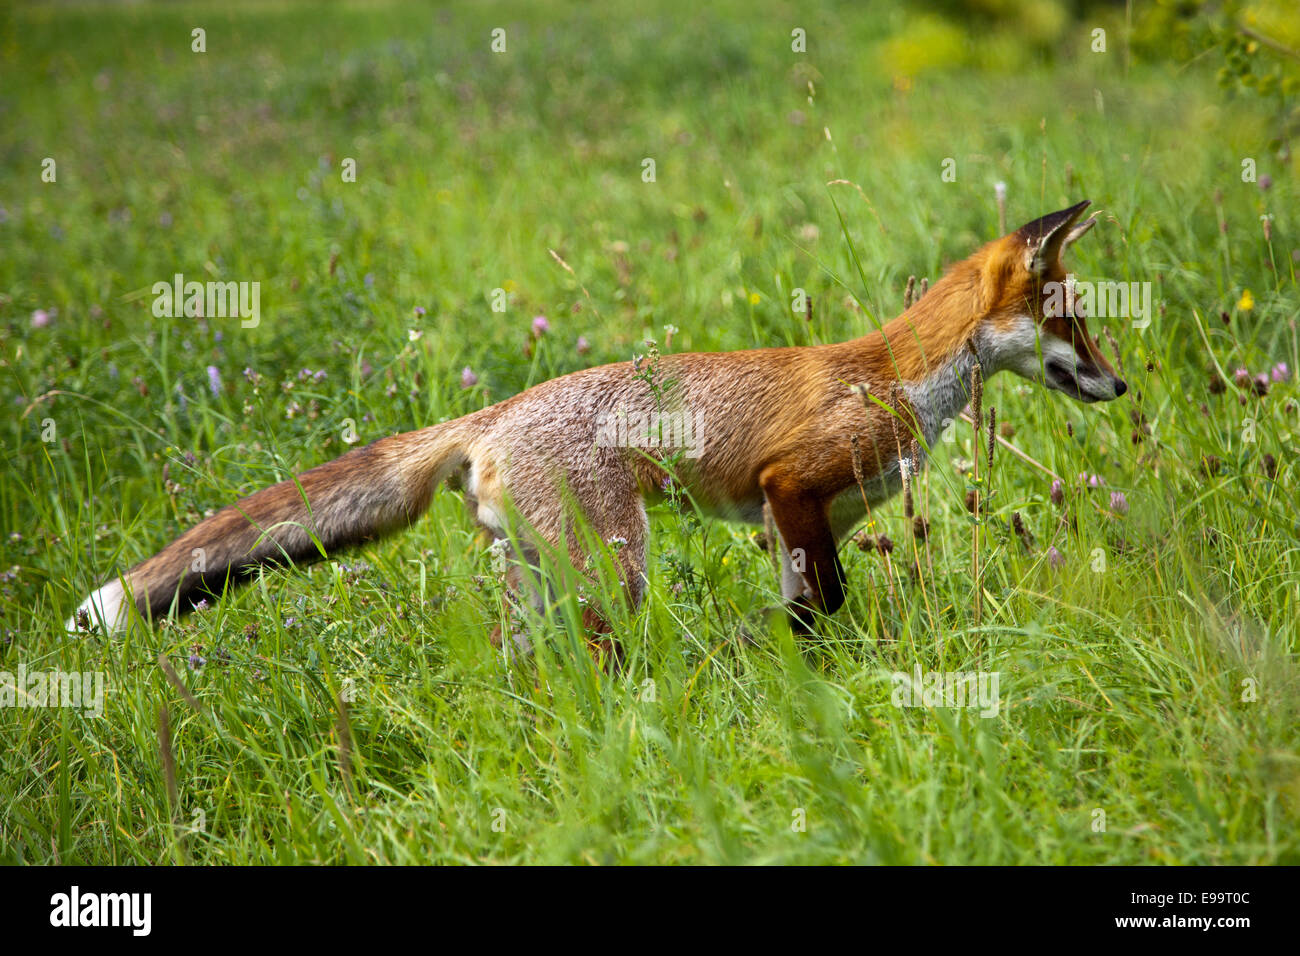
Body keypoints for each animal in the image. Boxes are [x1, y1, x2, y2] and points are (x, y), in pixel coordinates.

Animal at [70, 200, 1126, 657]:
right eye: (1074, 322)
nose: (1118, 384)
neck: (898, 374)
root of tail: (491, 412)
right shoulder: (794, 485)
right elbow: (822, 606)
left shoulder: (800, 519)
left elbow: (807, 616)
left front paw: (790, 672)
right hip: (615, 566)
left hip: (538, 577)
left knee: (527, 665)